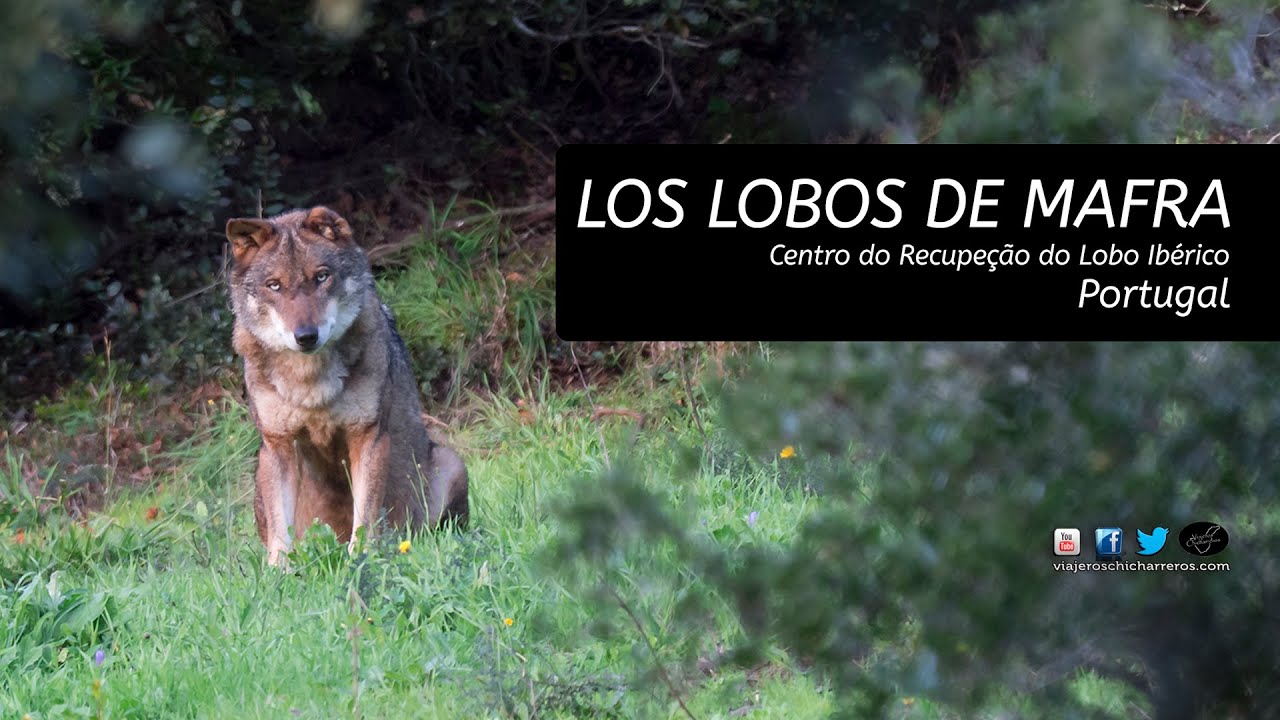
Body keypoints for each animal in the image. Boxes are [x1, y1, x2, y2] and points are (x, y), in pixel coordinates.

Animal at [225, 205, 469, 567]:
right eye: (275, 285)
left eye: (321, 276)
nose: (306, 336)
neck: (310, 384)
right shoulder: (279, 445)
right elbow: (280, 533)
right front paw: (279, 572)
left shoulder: (367, 437)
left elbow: (364, 518)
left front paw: (359, 561)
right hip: (261, 470)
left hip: (450, 464)